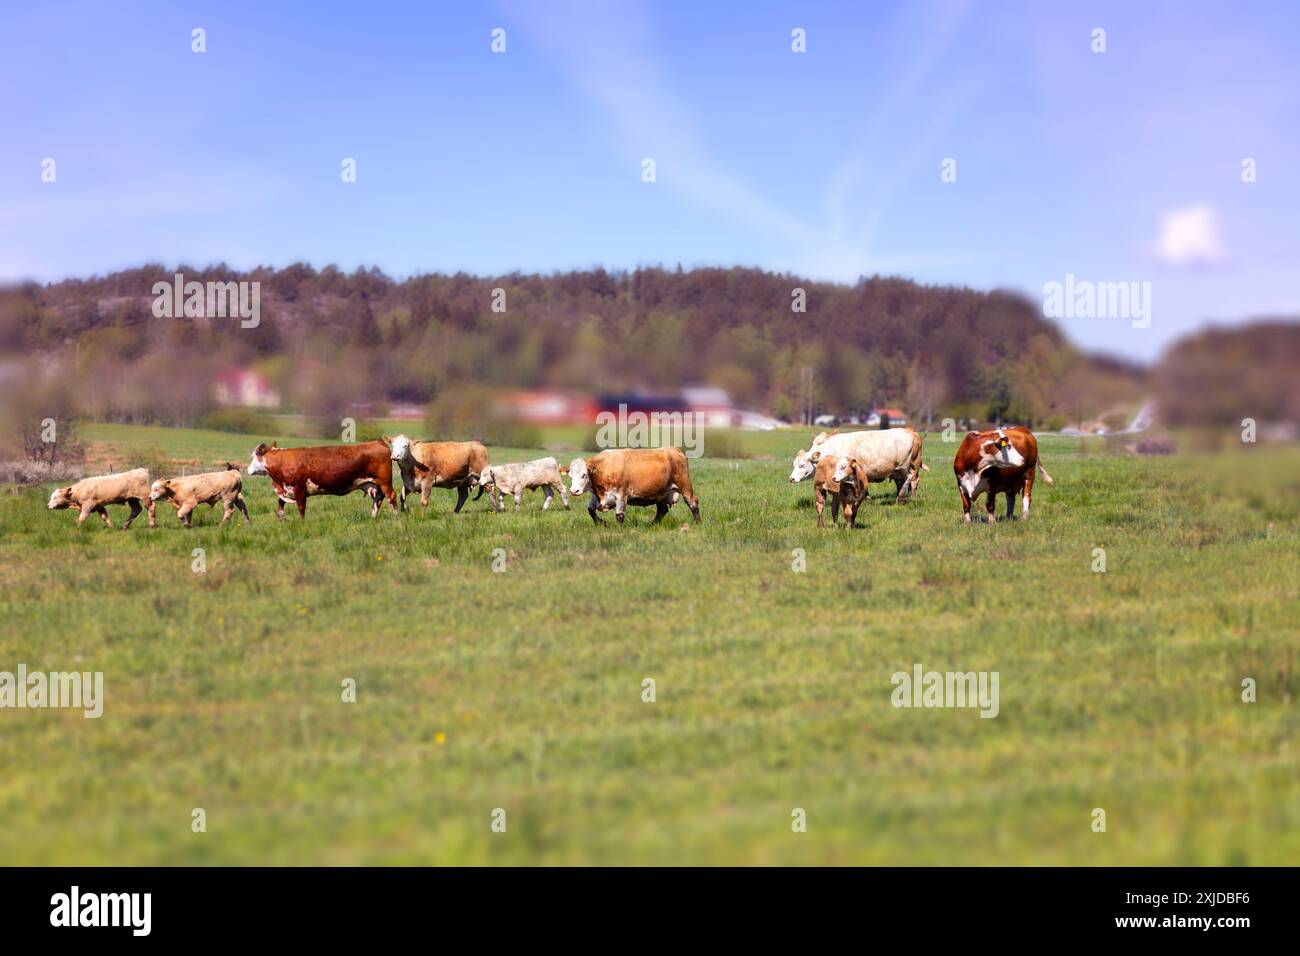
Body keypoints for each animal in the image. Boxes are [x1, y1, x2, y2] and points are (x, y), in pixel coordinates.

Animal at [246, 440, 398, 519]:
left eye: (253, 456)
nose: (247, 469)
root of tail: (378, 442)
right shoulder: (287, 490)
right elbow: (280, 503)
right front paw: (282, 518)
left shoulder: (299, 488)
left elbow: (301, 508)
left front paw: (302, 523)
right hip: (372, 484)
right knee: (378, 499)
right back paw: (373, 517)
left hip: (385, 482)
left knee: (392, 497)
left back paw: (396, 518)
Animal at [567, 447, 701, 525]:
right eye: (570, 476)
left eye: (584, 475)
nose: (574, 490)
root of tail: (674, 449)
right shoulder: (598, 495)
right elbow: (590, 509)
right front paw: (601, 523)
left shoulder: (621, 495)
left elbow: (619, 516)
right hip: (660, 493)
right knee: (662, 510)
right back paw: (652, 525)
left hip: (685, 486)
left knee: (693, 503)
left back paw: (698, 523)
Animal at [790, 428, 921, 503]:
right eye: (794, 464)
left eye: (801, 465)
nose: (791, 479)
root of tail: (909, 433)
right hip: (898, 470)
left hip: (904, 466)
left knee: (911, 478)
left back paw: (905, 496)